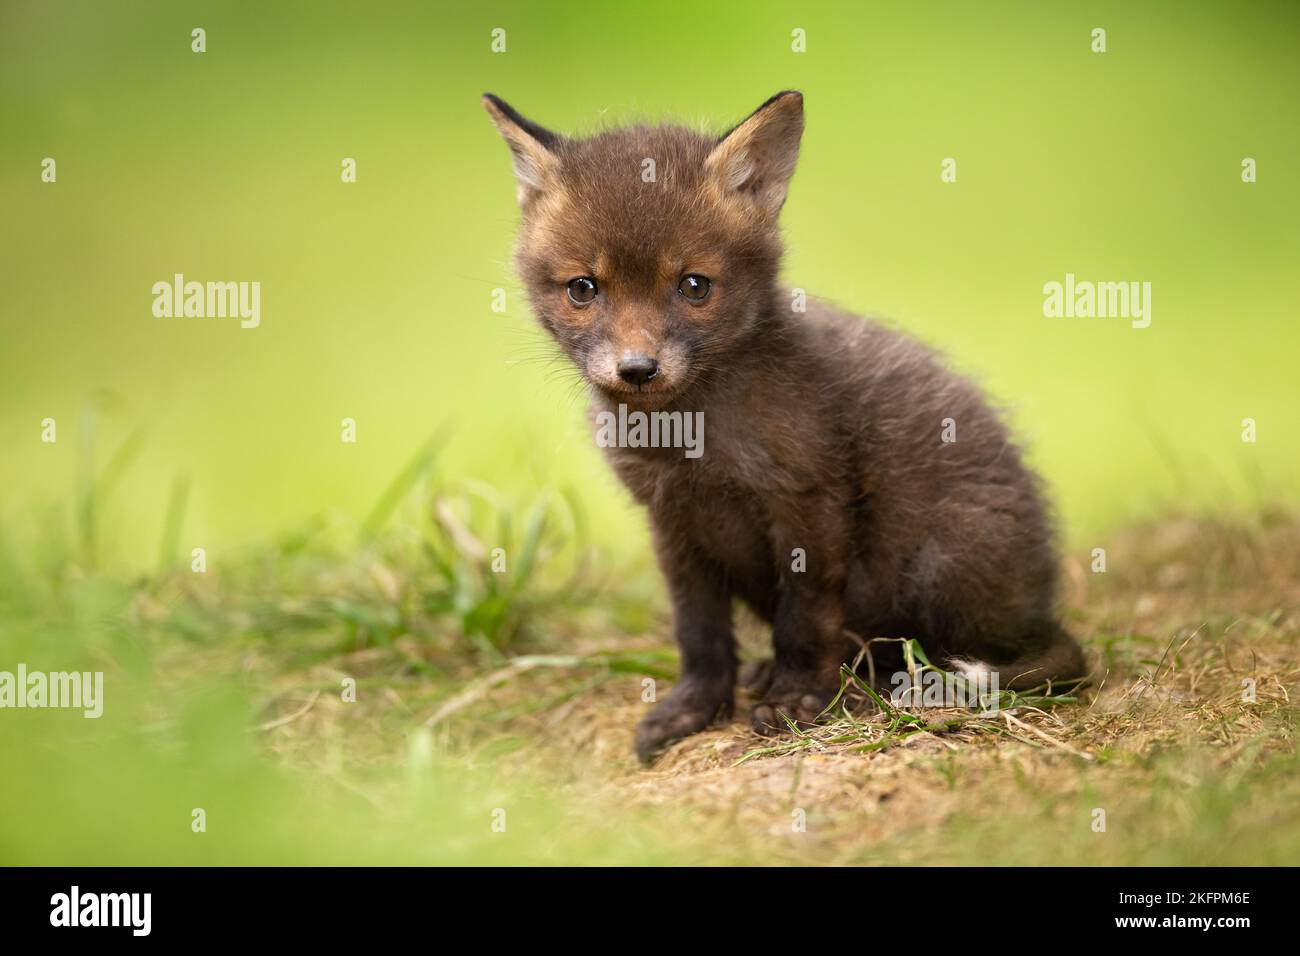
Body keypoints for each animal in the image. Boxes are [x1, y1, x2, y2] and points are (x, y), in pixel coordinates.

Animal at [483, 91, 1088, 763]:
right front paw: (694, 708)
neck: (689, 442)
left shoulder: (809, 501)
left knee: (956, 652)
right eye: (583, 289)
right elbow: (698, 632)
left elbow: (805, 620)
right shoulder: (672, 521)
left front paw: (798, 699)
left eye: (694, 285)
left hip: (937, 563)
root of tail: (1040, 600)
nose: (637, 369)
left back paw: (870, 684)